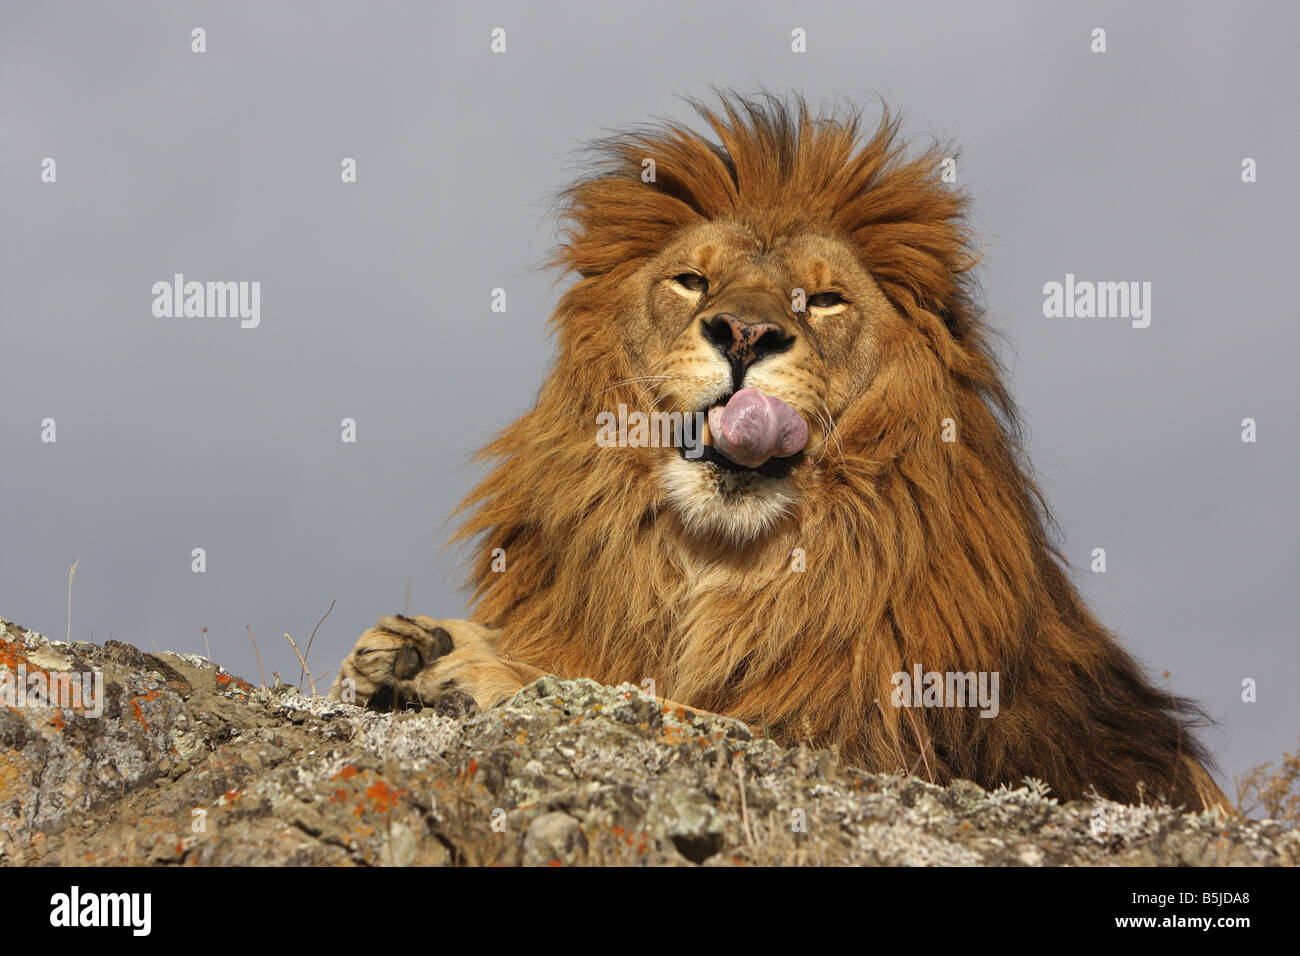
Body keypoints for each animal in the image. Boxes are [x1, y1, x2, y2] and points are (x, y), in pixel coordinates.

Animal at [332, 93, 1227, 811]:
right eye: (692, 281)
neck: (717, 562)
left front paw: (475, 669)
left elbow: (672, 708)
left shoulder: (876, 743)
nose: (744, 333)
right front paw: (405, 645)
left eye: (824, 298)